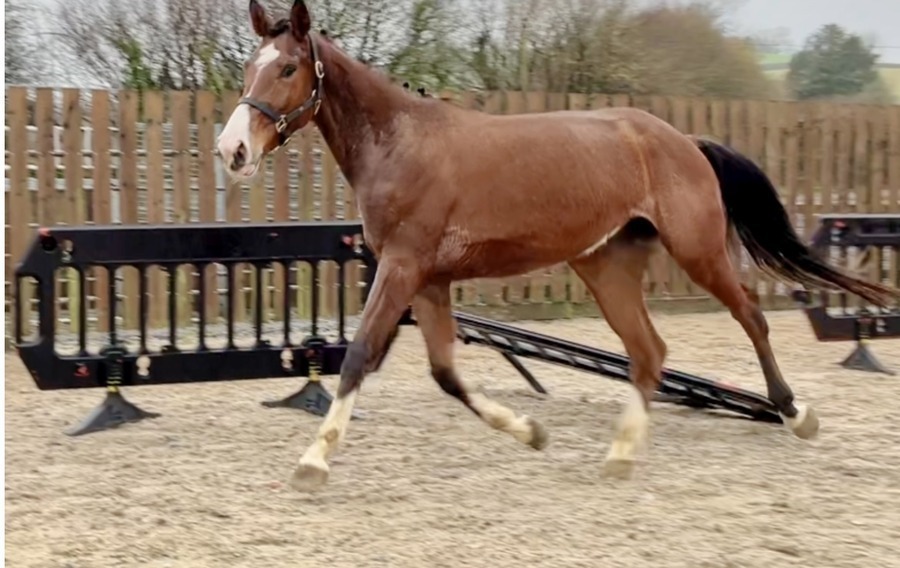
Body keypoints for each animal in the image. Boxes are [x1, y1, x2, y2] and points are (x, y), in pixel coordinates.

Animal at [216, 0, 900, 491]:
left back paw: (794, 413)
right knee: (649, 352)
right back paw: (620, 455)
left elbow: (359, 356)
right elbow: (445, 374)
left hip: (698, 251)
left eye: (287, 68)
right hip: (606, 268)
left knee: (751, 316)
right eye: (250, 67)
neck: (401, 143)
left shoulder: (404, 269)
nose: (233, 150)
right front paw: (532, 432)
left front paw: (313, 462)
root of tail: (681, 140)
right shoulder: (429, 281)